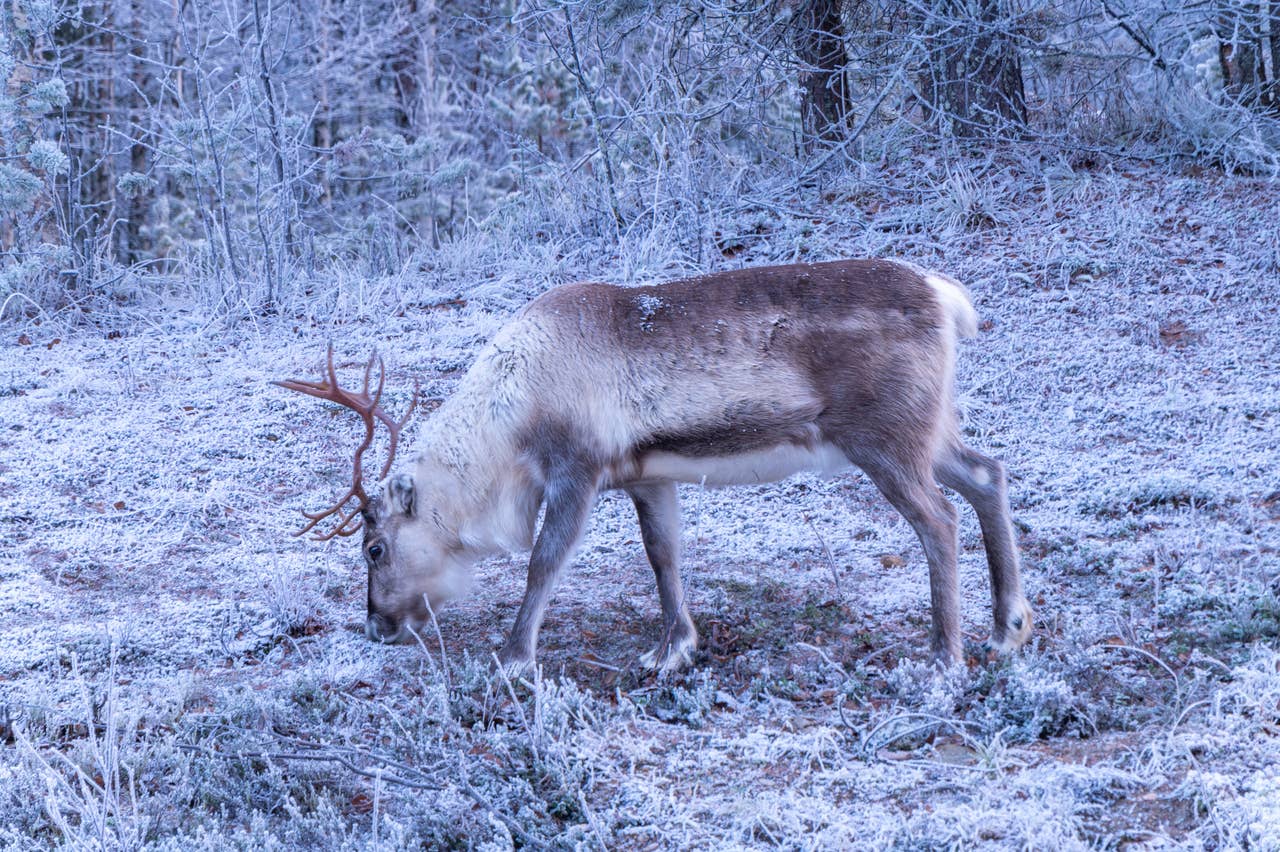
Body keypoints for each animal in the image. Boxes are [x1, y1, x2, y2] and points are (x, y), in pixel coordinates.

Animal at [277, 259, 1033, 673]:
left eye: (374, 547)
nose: (376, 625)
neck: (507, 426)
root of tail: (945, 297)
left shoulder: (575, 470)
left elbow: (543, 562)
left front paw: (514, 657)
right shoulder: (648, 476)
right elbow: (663, 558)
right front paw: (674, 648)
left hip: (884, 439)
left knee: (939, 521)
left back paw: (945, 655)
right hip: (929, 431)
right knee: (989, 475)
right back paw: (1007, 630)